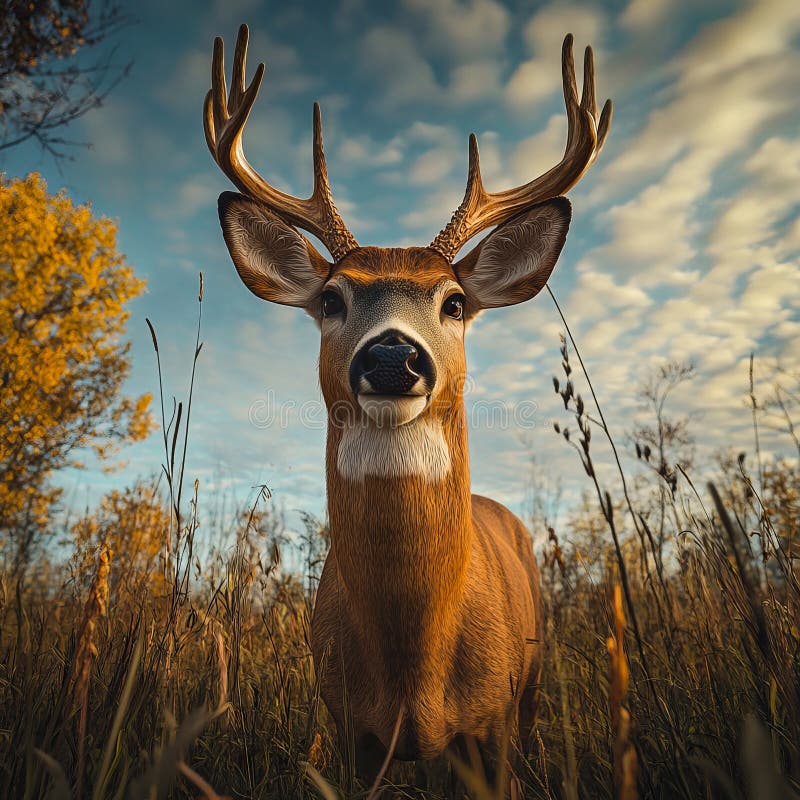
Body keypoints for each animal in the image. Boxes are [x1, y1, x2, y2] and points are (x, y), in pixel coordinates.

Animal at [204, 24, 611, 787]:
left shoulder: (493, 728)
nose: (393, 357)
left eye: (453, 303)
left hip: (533, 679)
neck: (413, 670)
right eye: (331, 300)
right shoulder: (346, 731)